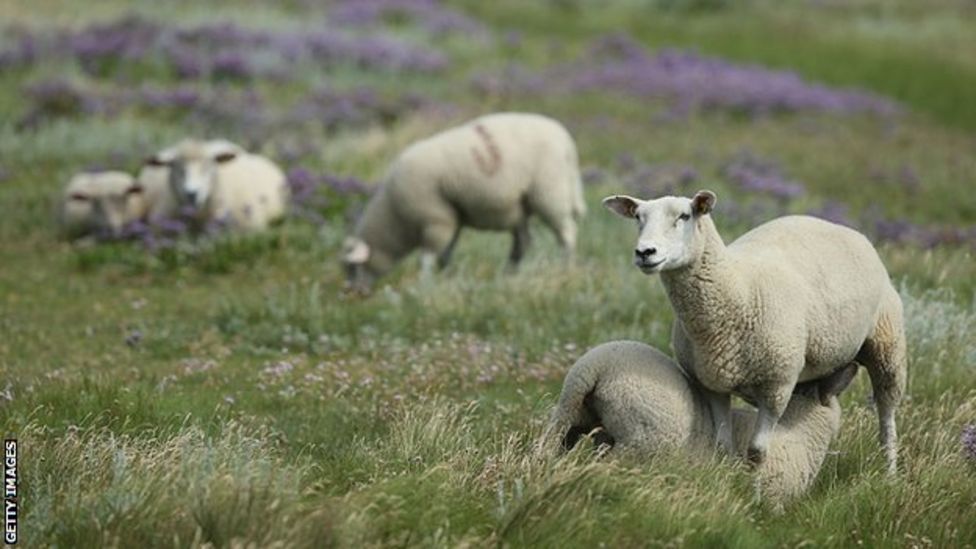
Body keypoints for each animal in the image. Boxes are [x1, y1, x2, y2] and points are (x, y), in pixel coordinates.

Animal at [341, 112, 585, 290]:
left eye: (351, 267)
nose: (350, 293)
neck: (394, 216)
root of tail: (567, 142)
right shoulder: (453, 216)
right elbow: (445, 253)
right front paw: (445, 276)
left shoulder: (435, 218)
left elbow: (427, 257)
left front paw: (425, 285)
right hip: (520, 205)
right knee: (523, 242)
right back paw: (509, 273)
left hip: (550, 193)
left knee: (567, 234)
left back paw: (566, 268)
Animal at [603, 190, 907, 474]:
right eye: (638, 218)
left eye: (684, 216)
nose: (645, 252)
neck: (738, 289)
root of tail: (843, 227)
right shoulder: (712, 383)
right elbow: (722, 445)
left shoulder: (777, 386)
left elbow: (757, 451)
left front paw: (754, 491)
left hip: (887, 346)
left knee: (887, 416)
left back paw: (889, 474)